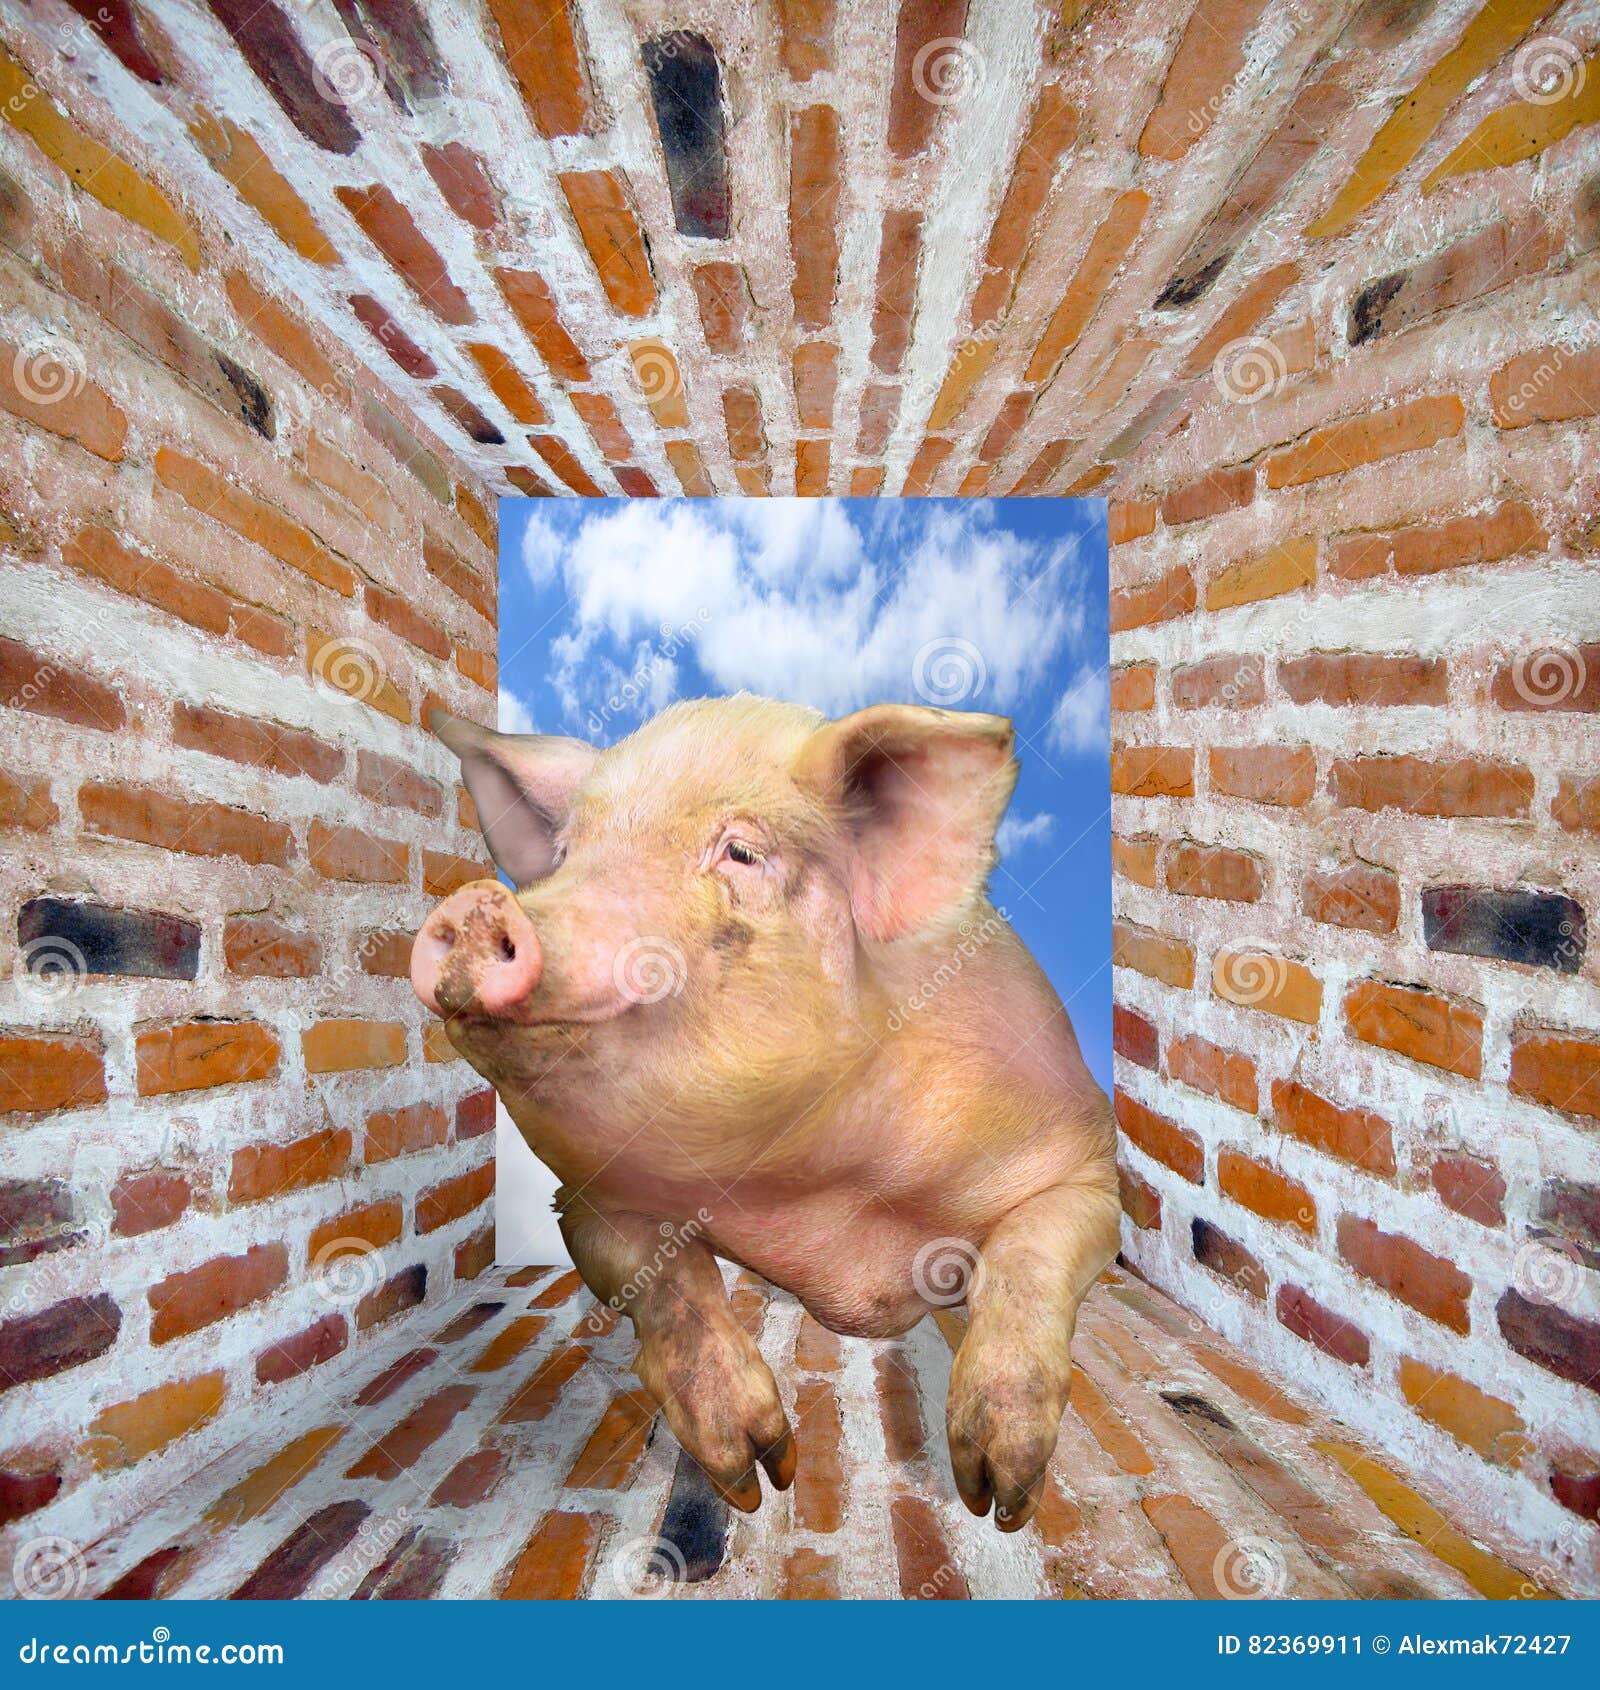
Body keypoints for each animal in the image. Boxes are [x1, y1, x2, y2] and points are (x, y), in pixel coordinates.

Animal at [412, 694, 1119, 1531]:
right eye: (564, 854)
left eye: (742, 853)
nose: (476, 904)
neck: (818, 1191)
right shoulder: (585, 1197)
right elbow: (667, 1284)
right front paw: (762, 1480)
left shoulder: (1083, 1152)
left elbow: (1029, 1255)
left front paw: (999, 1502)